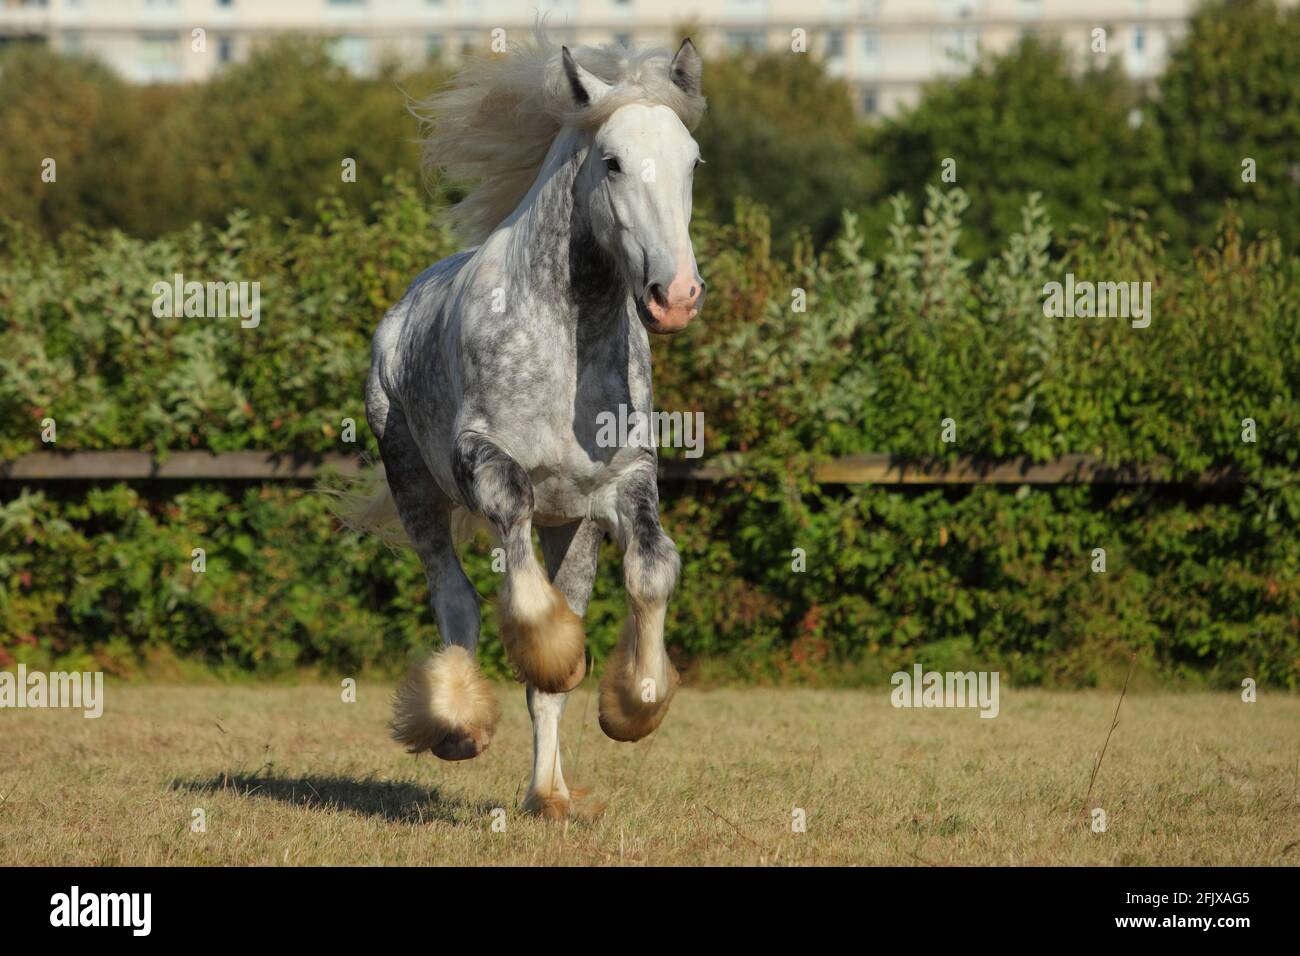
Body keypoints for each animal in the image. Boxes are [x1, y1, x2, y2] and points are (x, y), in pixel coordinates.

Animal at [346, 33, 706, 819]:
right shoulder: (481, 458)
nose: (675, 295)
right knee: (455, 598)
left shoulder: (620, 484)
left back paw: (549, 795)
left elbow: (653, 569)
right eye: (613, 161)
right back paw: (454, 726)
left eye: (692, 160)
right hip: (414, 484)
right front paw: (554, 653)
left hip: (571, 526)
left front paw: (631, 707)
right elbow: (522, 575)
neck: (563, 340)